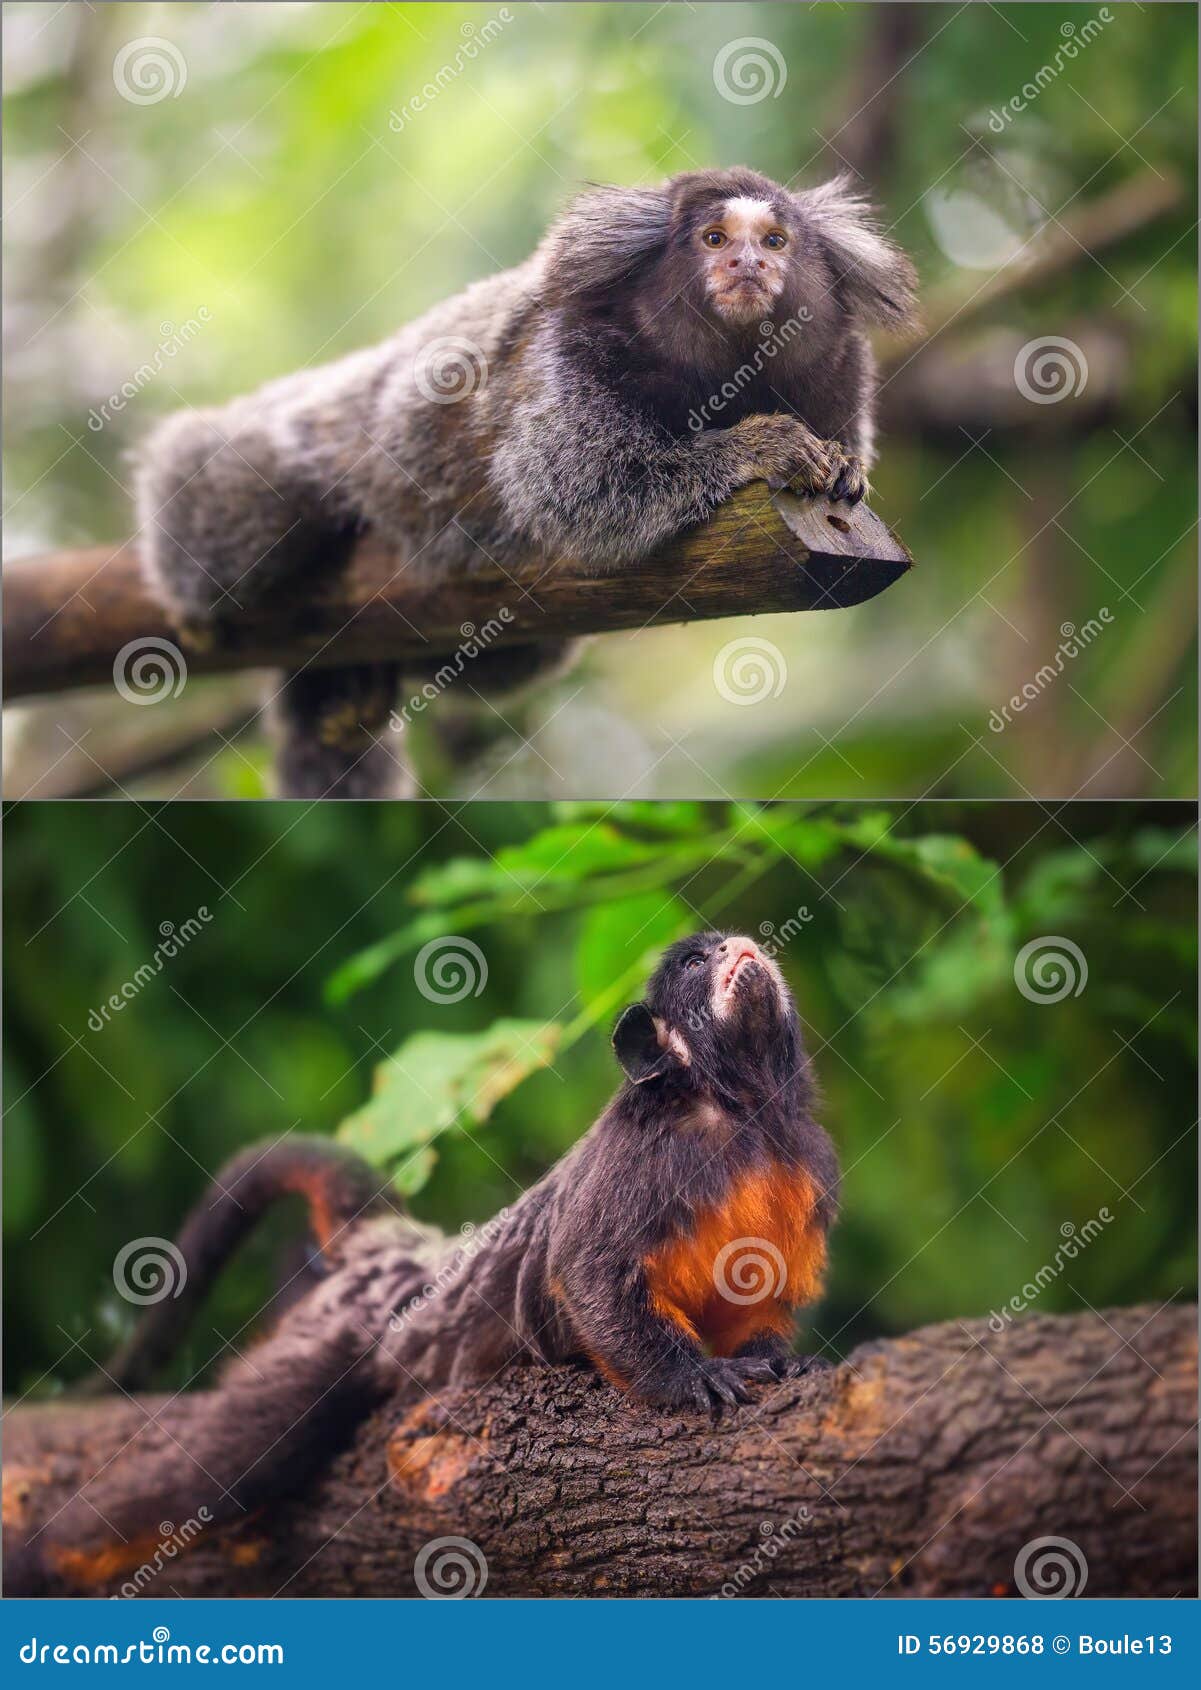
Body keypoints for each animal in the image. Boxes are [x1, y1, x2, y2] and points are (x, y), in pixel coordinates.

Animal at [7, 931, 838, 1594]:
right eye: (698, 962)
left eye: (737, 943)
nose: (743, 949)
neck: (732, 1113)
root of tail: (396, 1256)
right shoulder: (638, 1157)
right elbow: (586, 1272)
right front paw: (687, 1377)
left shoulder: (805, 1161)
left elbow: (762, 1300)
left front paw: (782, 1360)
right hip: (339, 1329)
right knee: (227, 1464)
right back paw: (41, 1553)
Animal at [135, 167, 917, 797]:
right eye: (716, 238)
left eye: (775, 242)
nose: (749, 264)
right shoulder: (565, 356)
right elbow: (576, 485)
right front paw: (760, 446)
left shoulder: (836, 371)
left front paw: (844, 468)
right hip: (305, 445)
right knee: (232, 517)